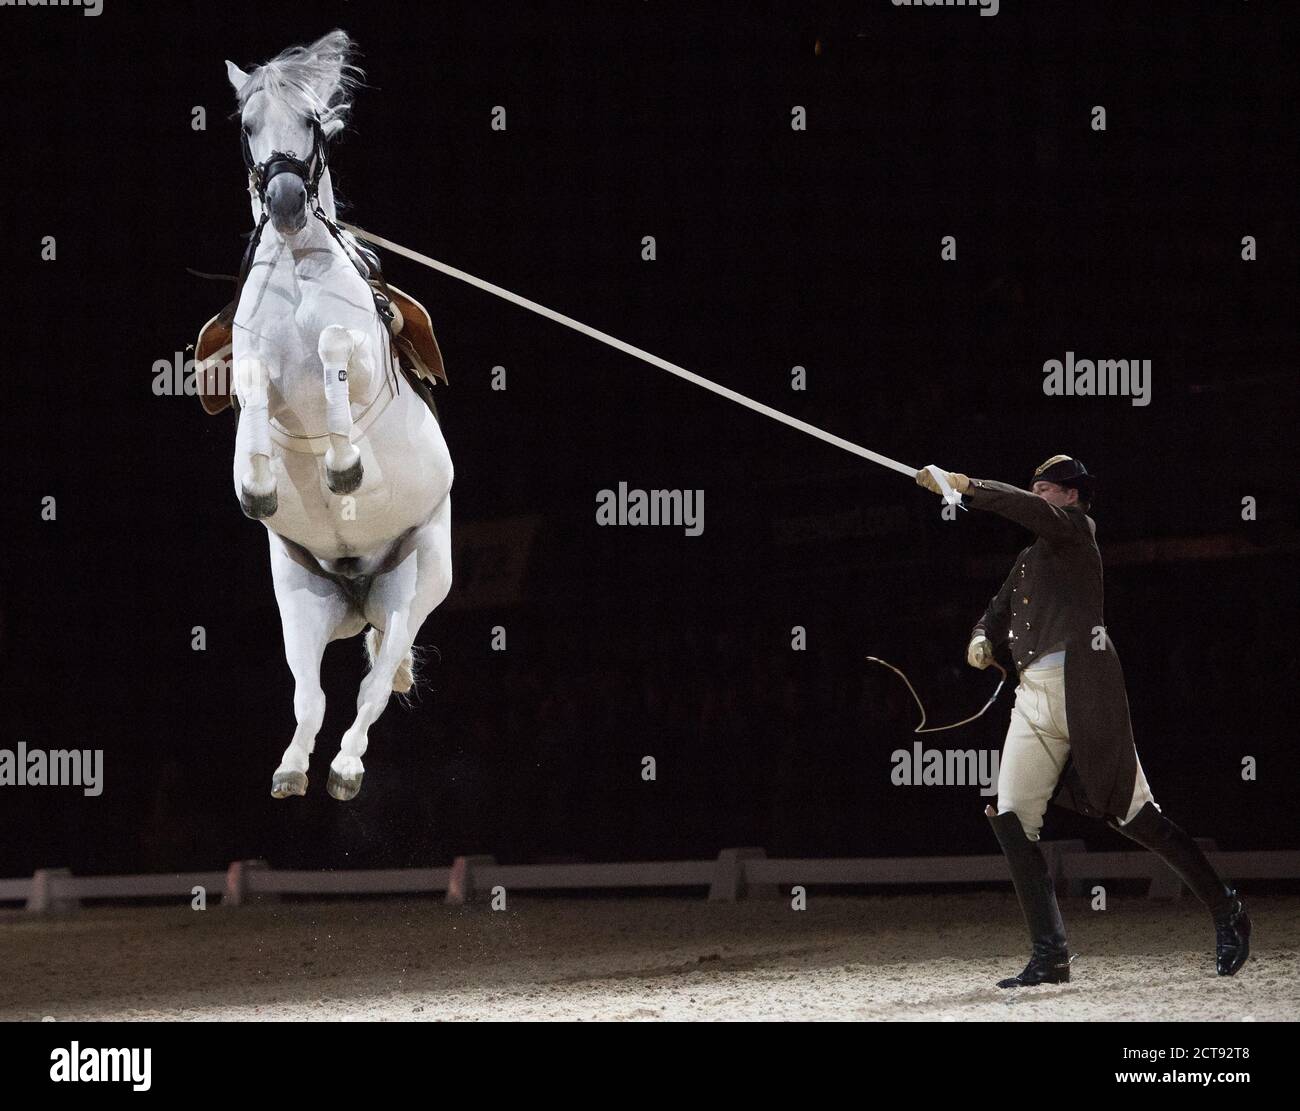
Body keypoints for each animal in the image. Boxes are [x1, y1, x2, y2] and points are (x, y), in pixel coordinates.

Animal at [221, 30, 453, 801]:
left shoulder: (357, 350)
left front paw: (344, 467)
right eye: (247, 125)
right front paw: (259, 486)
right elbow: (256, 383)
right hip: (301, 598)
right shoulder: (250, 356)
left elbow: (331, 348)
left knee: (374, 688)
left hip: (413, 589)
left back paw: (346, 768)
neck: (297, 261)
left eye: (313, 120)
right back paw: (293, 767)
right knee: (310, 697)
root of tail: (356, 594)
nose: (288, 200)